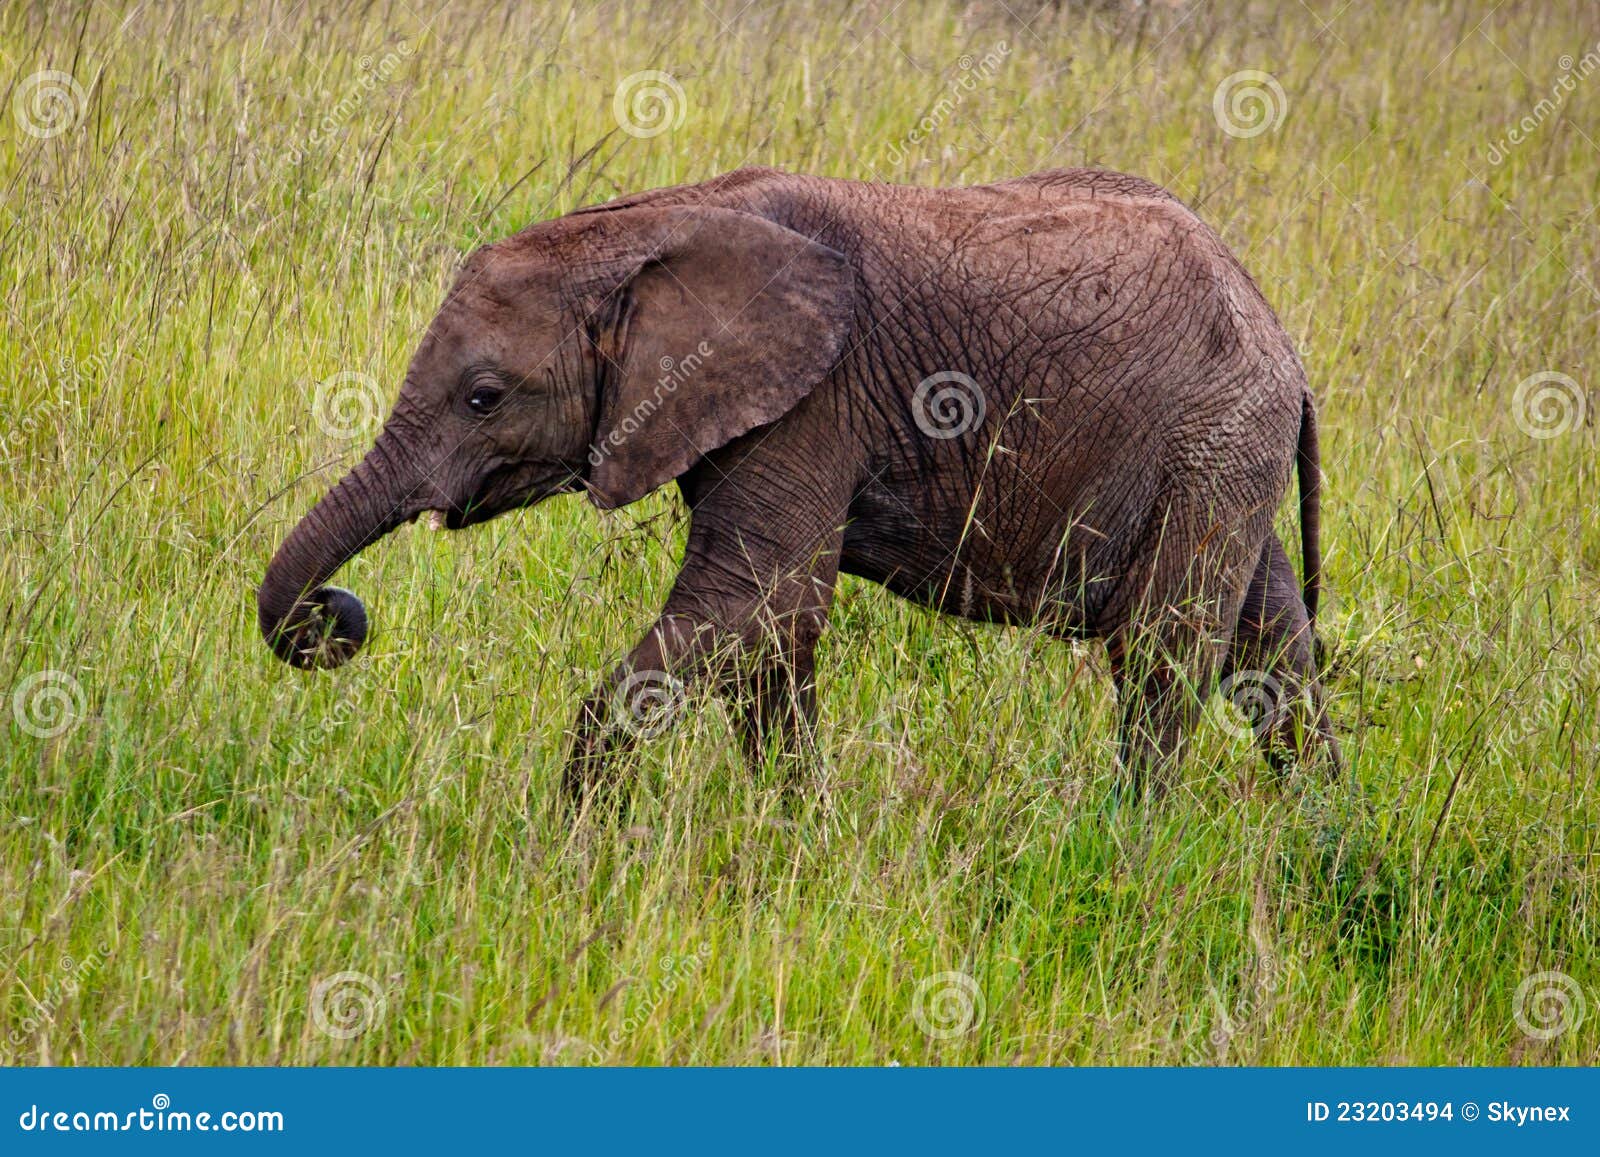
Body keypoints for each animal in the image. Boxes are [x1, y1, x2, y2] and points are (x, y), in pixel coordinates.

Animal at [258, 165, 1343, 800]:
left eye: (483, 397)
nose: (335, 614)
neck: (648, 226)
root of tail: (1281, 334)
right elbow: (772, 633)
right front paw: (800, 841)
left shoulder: (814, 400)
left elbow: (755, 604)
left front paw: (575, 848)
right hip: (1225, 453)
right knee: (1271, 646)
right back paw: (1321, 834)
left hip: (1214, 435)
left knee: (1164, 652)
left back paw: (1126, 844)